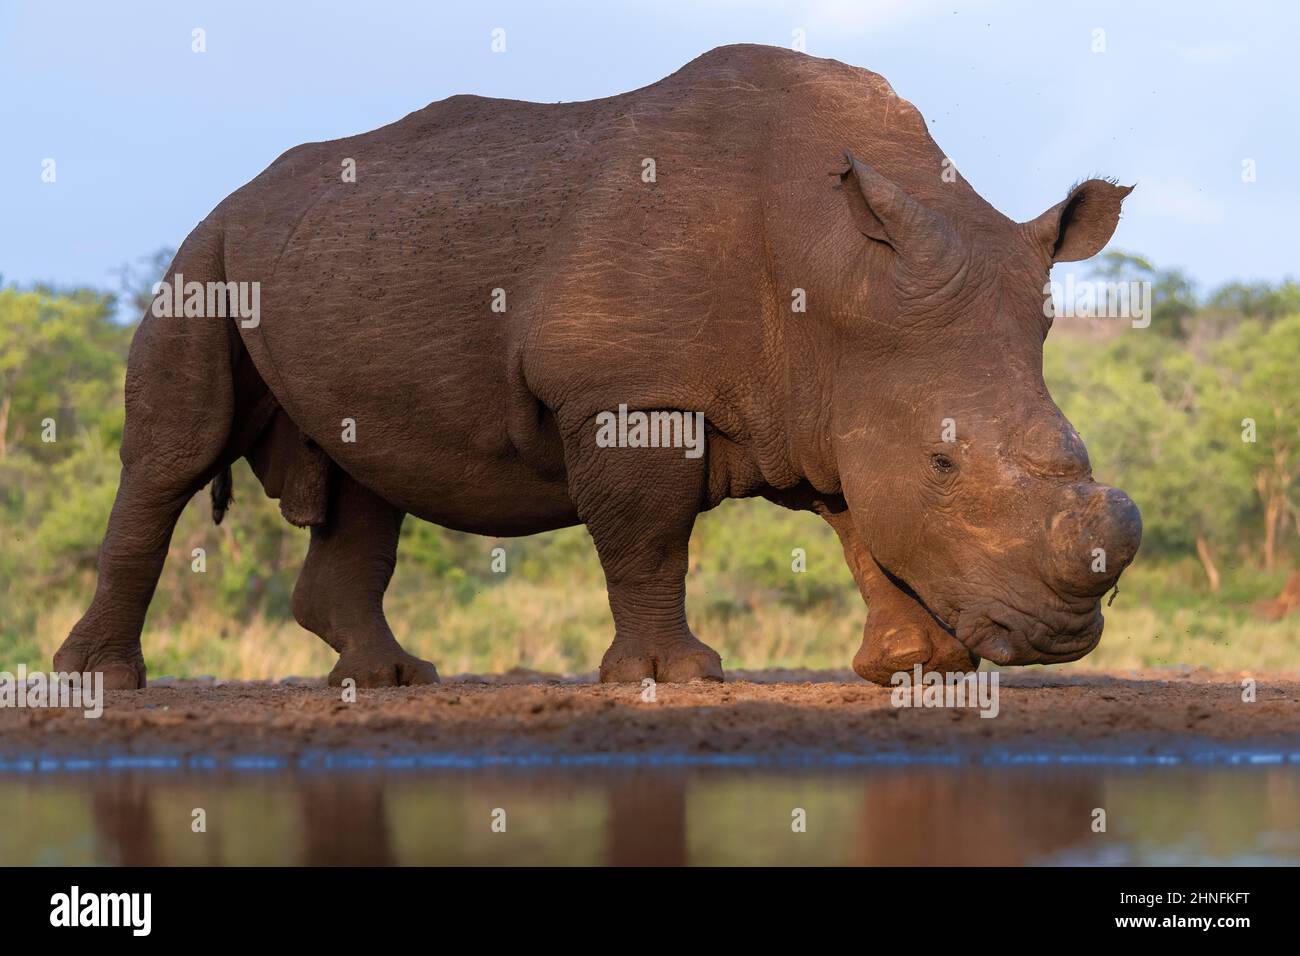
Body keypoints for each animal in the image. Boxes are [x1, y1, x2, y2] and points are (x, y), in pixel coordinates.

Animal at [57, 44, 1141, 689]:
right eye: (945, 465)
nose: (1061, 638)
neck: (838, 279)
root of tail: (245, 188)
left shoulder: (839, 390)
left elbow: (858, 522)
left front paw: (917, 668)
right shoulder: (628, 389)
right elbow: (649, 536)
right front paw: (675, 677)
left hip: (310, 249)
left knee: (365, 474)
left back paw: (392, 681)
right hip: (207, 247)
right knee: (172, 455)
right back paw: (102, 683)